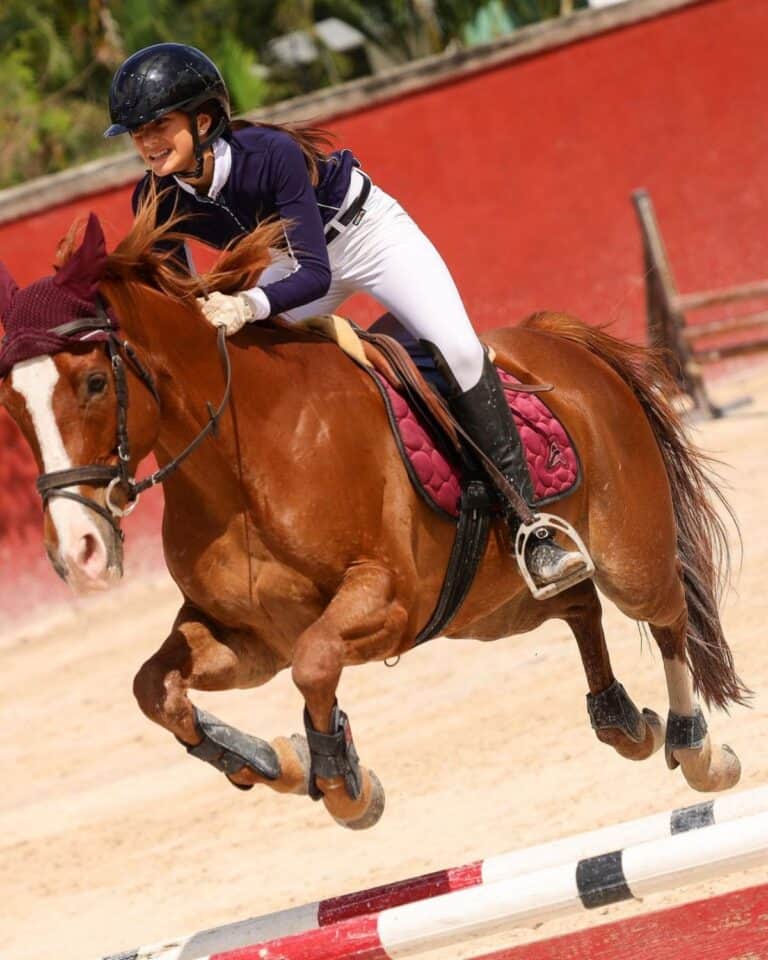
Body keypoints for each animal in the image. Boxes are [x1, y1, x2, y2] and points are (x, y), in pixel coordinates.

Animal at [0, 209, 748, 830]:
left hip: (629, 555)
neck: (239, 460)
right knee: (579, 607)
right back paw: (624, 723)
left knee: (666, 615)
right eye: (12, 404)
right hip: (493, 610)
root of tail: (558, 341)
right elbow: (155, 690)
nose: (78, 552)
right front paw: (277, 761)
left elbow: (315, 662)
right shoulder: (247, 635)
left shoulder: (389, 599)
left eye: (96, 382)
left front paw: (344, 785)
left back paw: (699, 751)